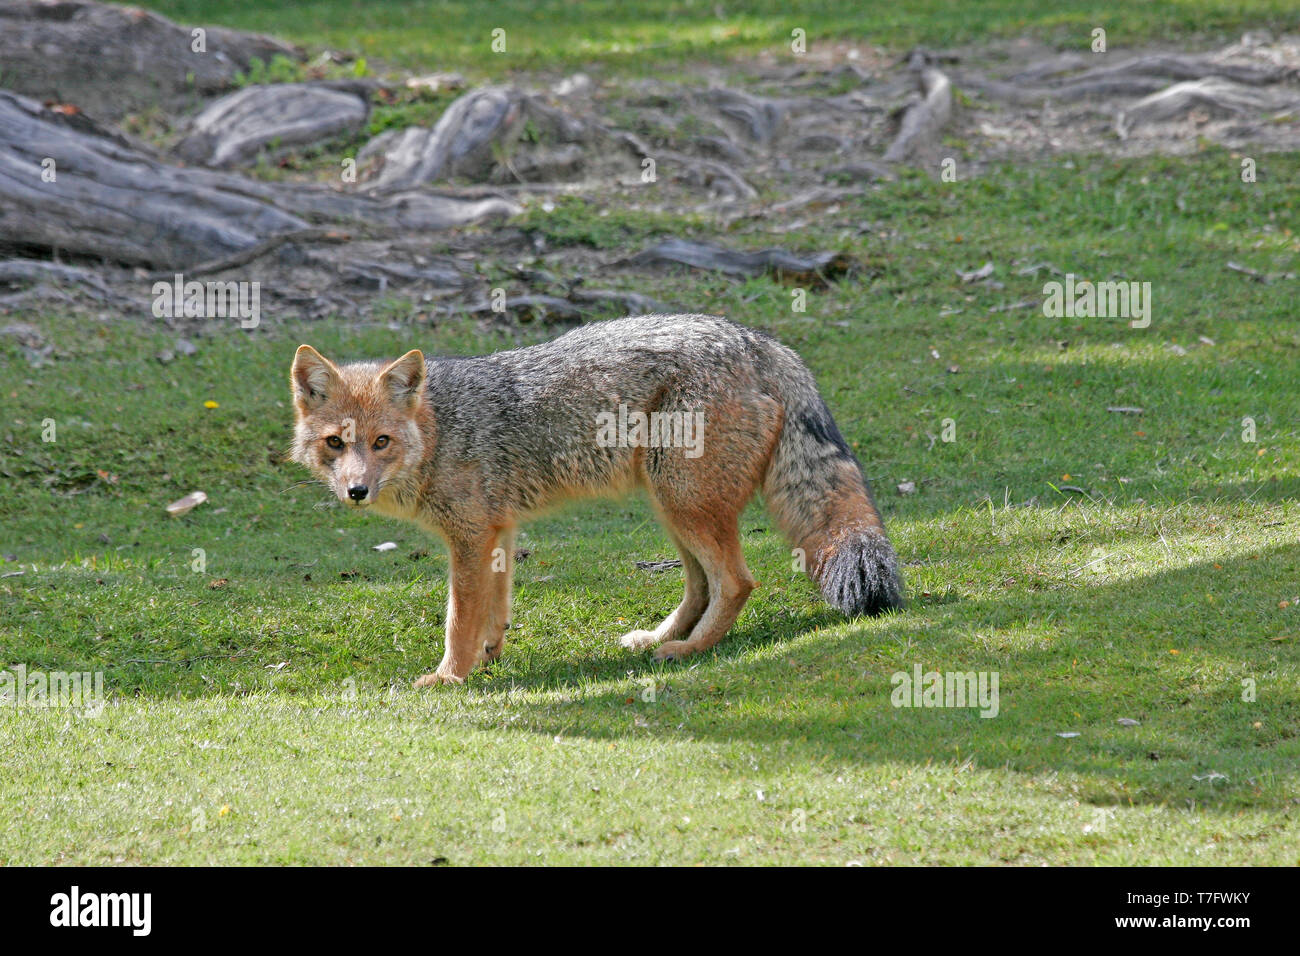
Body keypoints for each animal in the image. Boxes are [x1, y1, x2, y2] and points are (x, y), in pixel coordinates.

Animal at [289, 313, 903, 686]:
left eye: (381, 442)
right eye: (336, 443)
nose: (355, 491)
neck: (441, 429)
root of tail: (760, 341)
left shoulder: (469, 538)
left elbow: (458, 619)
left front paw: (448, 678)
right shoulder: (498, 532)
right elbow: (495, 610)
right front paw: (488, 658)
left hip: (682, 503)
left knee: (736, 582)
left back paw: (688, 652)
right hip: (670, 507)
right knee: (701, 587)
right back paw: (660, 638)